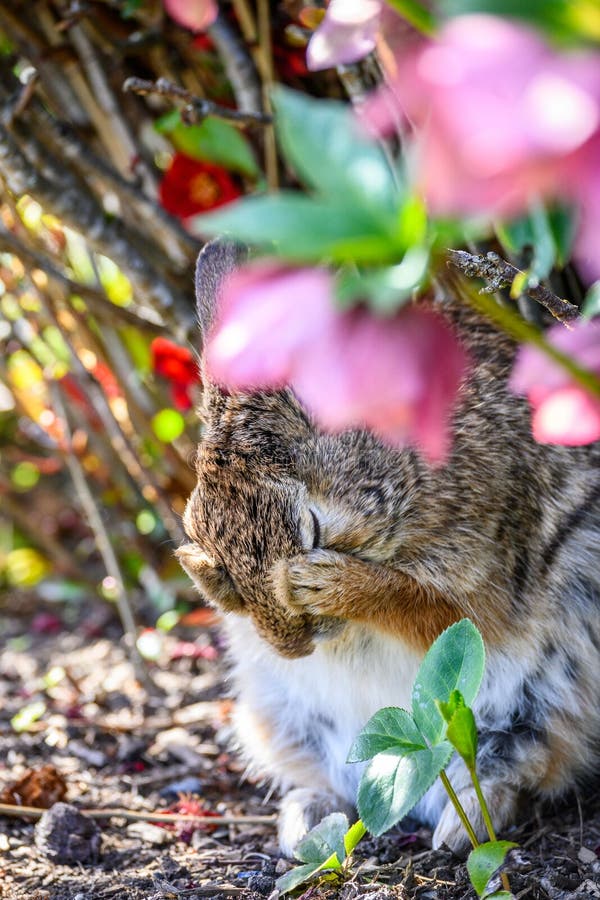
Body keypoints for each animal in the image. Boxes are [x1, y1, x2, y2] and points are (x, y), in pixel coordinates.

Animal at [176, 240, 600, 857]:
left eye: (311, 529)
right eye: (199, 524)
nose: (291, 647)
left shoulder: (491, 570)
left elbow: (433, 610)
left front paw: (326, 583)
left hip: (563, 671)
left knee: (520, 762)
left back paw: (461, 826)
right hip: (278, 708)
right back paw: (305, 825)